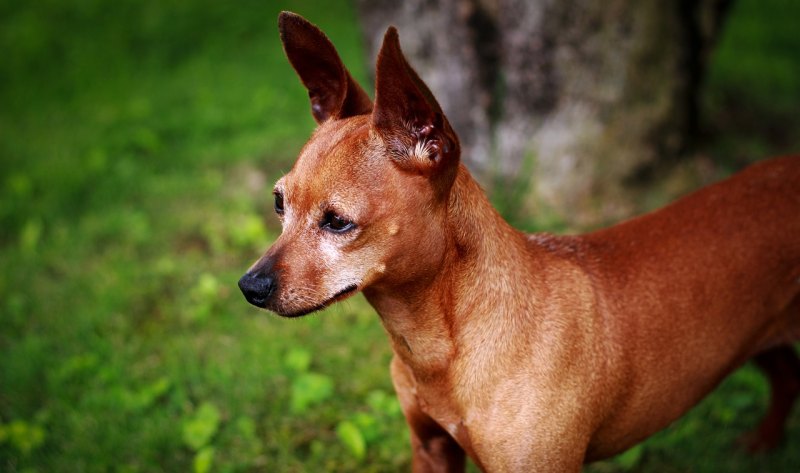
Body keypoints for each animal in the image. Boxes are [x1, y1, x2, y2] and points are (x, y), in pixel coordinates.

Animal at [239, 12, 800, 472]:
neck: (441, 345)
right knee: (784, 374)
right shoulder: (432, 450)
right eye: (279, 204)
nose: (249, 287)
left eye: (337, 222)